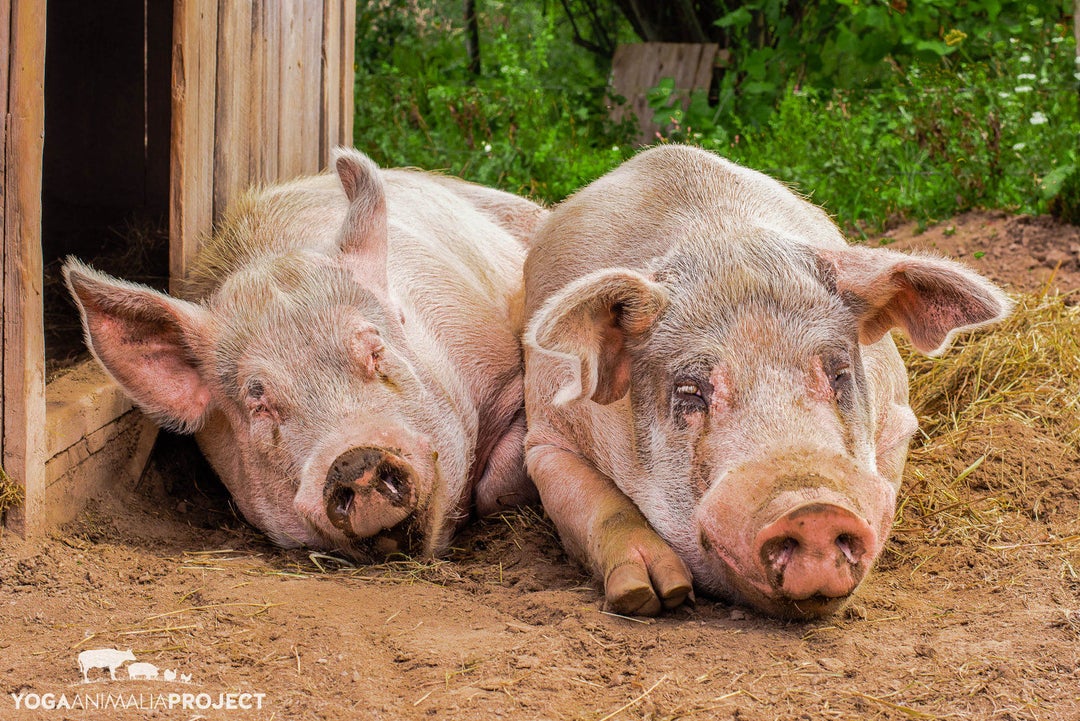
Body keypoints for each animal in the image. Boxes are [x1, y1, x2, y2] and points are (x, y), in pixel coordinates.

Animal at [522, 145, 1010, 619]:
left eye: (839, 373)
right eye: (690, 390)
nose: (814, 510)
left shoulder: (898, 419)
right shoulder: (545, 435)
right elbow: (602, 507)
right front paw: (650, 597)